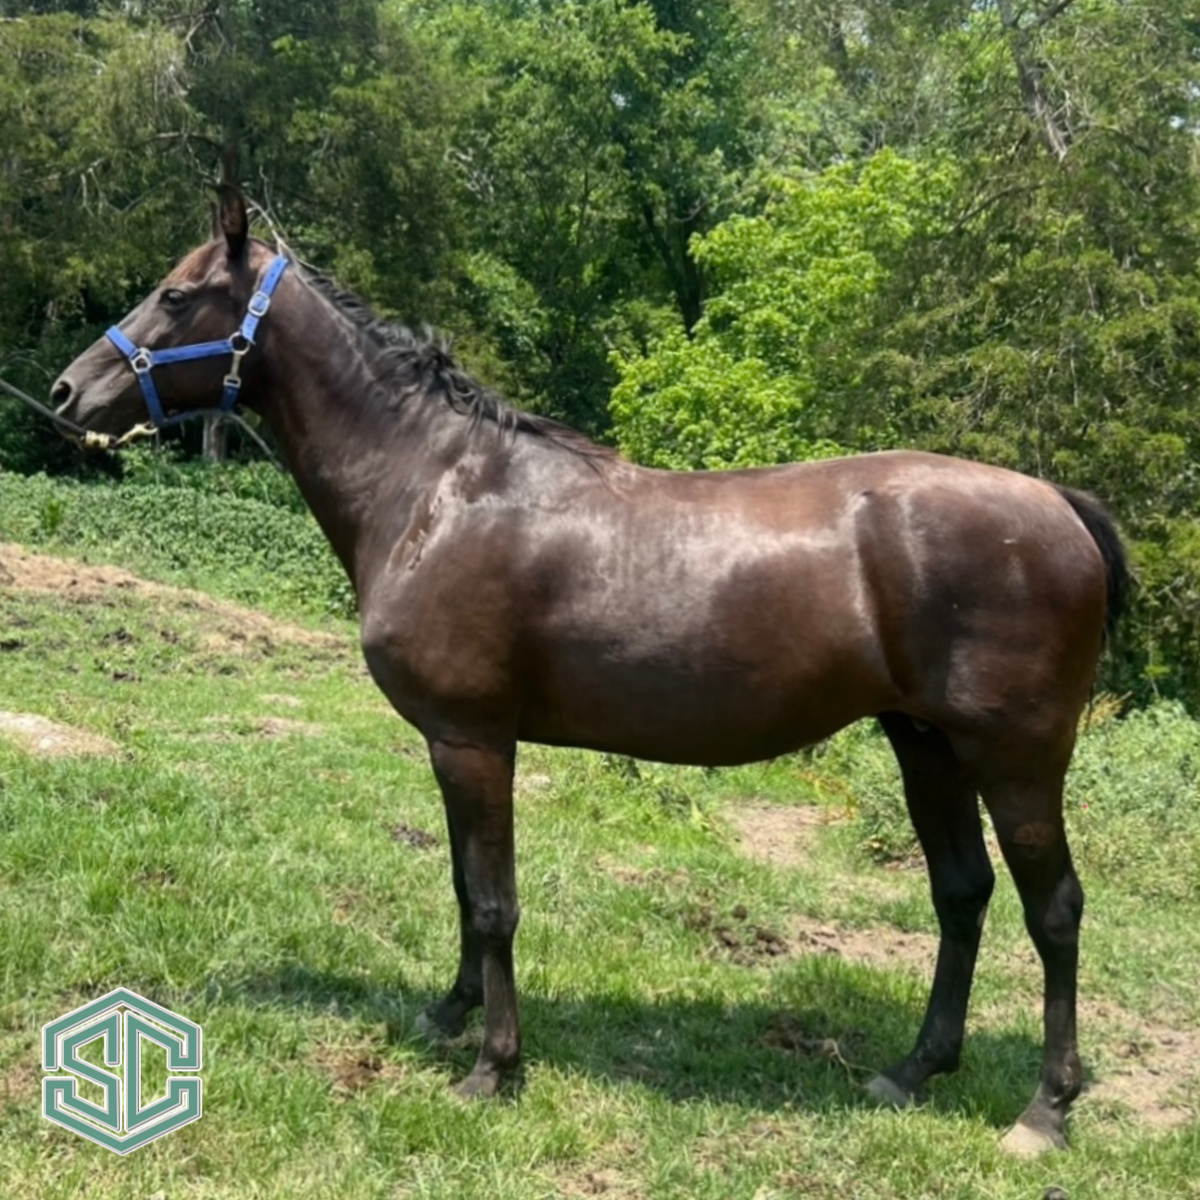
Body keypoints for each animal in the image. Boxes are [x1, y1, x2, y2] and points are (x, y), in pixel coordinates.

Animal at [51, 186, 1127, 1157]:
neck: (439, 487)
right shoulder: (458, 744)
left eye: (176, 296)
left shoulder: (474, 740)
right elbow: (462, 884)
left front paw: (494, 1065)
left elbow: (493, 900)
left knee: (1055, 912)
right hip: (927, 746)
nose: (66, 394)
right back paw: (913, 1070)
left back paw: (1045, 1111)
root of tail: (1061, 506)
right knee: (962, 894)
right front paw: (447, 1016)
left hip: (1017, 759)